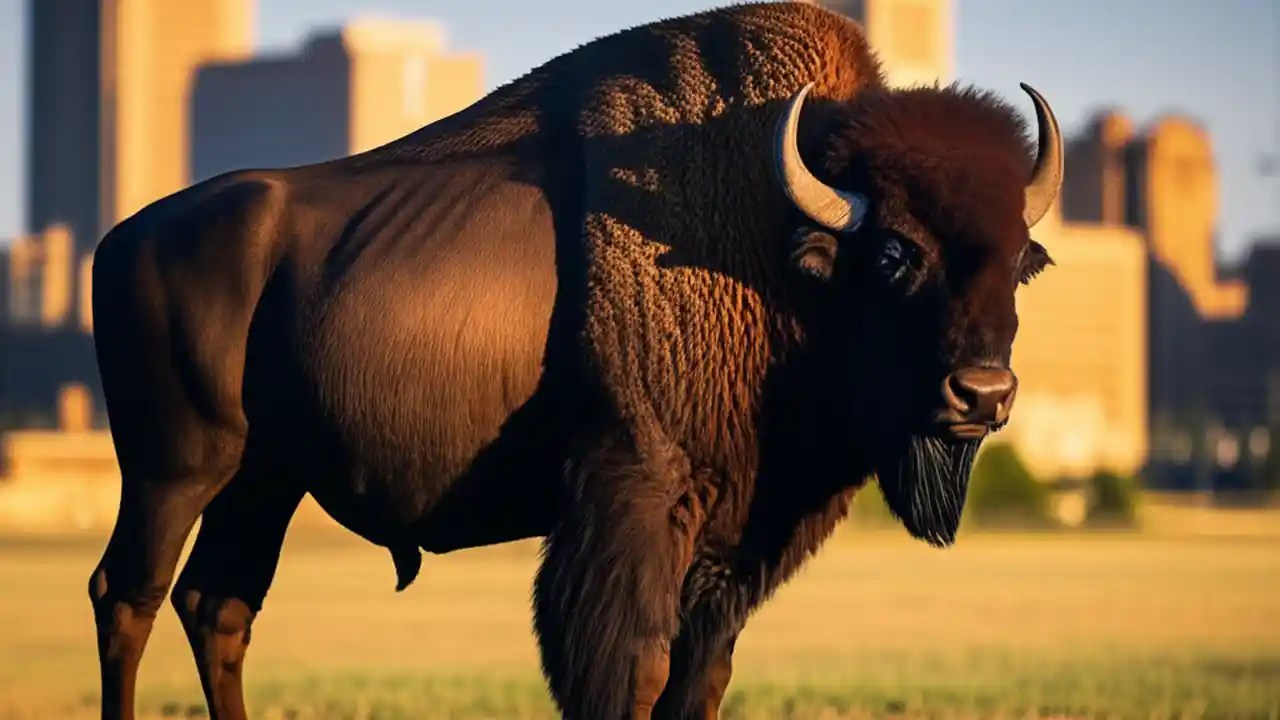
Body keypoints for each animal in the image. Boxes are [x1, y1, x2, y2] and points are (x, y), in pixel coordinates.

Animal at [86, 3, 1062, 719]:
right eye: (895, 251)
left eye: (1022, 260)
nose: (983, 394)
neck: (776, 252)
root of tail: (123, 237)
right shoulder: (636, 499)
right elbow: (628, 674)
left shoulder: (734, 543)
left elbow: (697, 682)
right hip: (173, 472)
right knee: (128, 597)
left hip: (263, 481)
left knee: (218, 607)